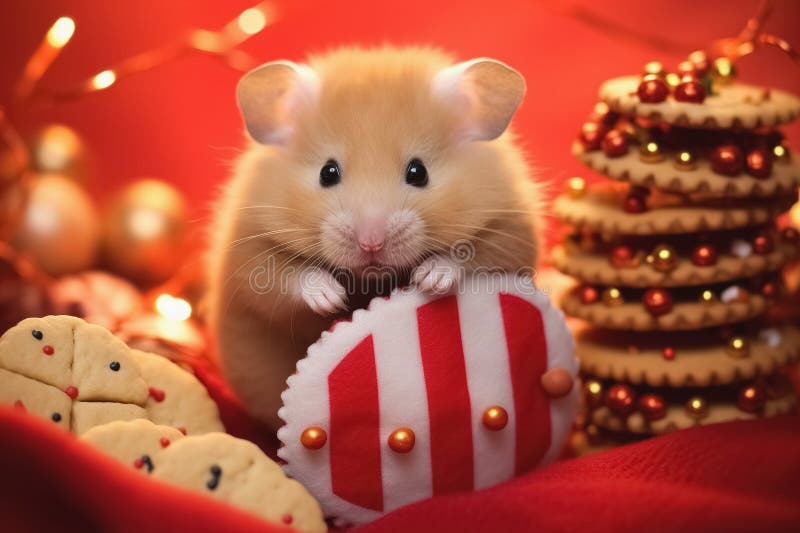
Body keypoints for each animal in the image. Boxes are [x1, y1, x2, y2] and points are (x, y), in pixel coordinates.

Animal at [207, 47, 542, 428]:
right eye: (327, 172)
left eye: (418, 171)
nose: (371, 244)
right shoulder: (247, 246)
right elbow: (280, 276)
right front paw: (332, 299)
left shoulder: (512, 230)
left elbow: (476, 256)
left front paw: (429, 279)